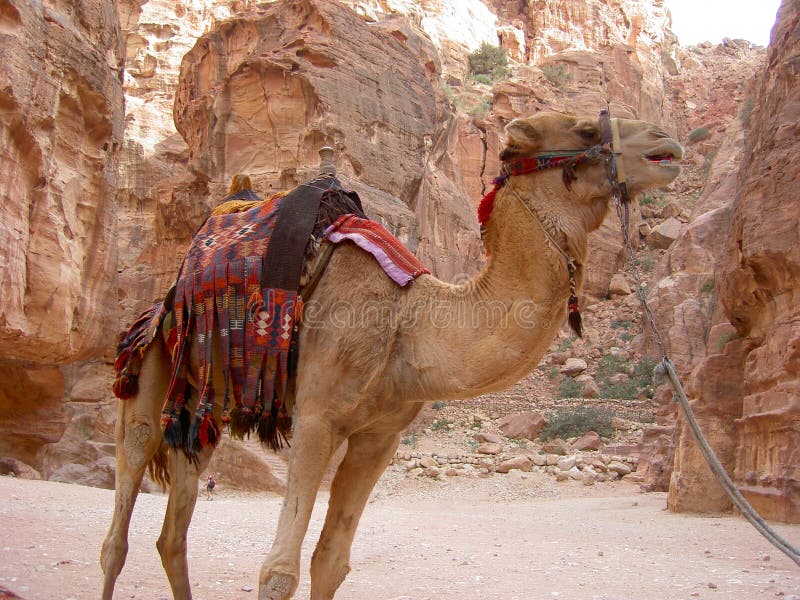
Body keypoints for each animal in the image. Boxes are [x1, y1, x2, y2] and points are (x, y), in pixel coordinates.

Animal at [100, 110, 683, 599]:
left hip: (201, 408)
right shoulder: (317, 418)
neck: (411, 321)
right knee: (120, 522)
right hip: (152, 369)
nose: (667, 142)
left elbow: (331, 561)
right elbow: (279, 570)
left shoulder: (380, 436)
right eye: (586, 129)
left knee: (173, 532)